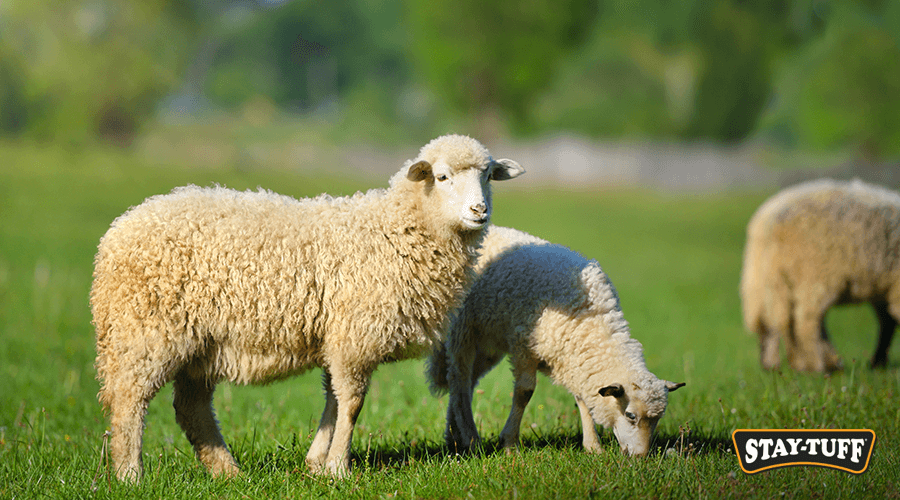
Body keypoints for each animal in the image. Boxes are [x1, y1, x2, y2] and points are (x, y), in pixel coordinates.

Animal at [90, 134, 524, 482]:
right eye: (443, 177)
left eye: (488, 175)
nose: (479, 211)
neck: (397, 231)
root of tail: (115, 233)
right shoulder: (354, 334)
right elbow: (352, 403)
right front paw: (338, 468)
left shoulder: (339, 335)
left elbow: (333, 398)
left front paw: (317, 462)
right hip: (145, 331)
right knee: (129, 401)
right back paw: (130, 475)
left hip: (201, 343)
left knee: (191, 408)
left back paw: (227, 473)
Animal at [427, 226, 684, 456]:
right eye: (630, 415)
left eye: (657, 419)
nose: (640, 457)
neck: (591, 321)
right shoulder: (524, 347)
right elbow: (524, 393)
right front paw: (510, 443)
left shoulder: (573, 358)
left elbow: (582, 399)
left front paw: (593, 447)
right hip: (463, 329)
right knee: (459, 380)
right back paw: (470, 438)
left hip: (488, 344)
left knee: (466, 382)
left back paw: (454, 436)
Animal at [741, 178, 900, 373]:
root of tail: (765, 220)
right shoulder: (894, 288)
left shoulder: (884, 292)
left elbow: (887, 322)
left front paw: (878, 363)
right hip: (815, 274)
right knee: (805, 321)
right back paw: (816, 365)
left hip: (766, 278)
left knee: (777, 322)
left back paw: (793, 363)